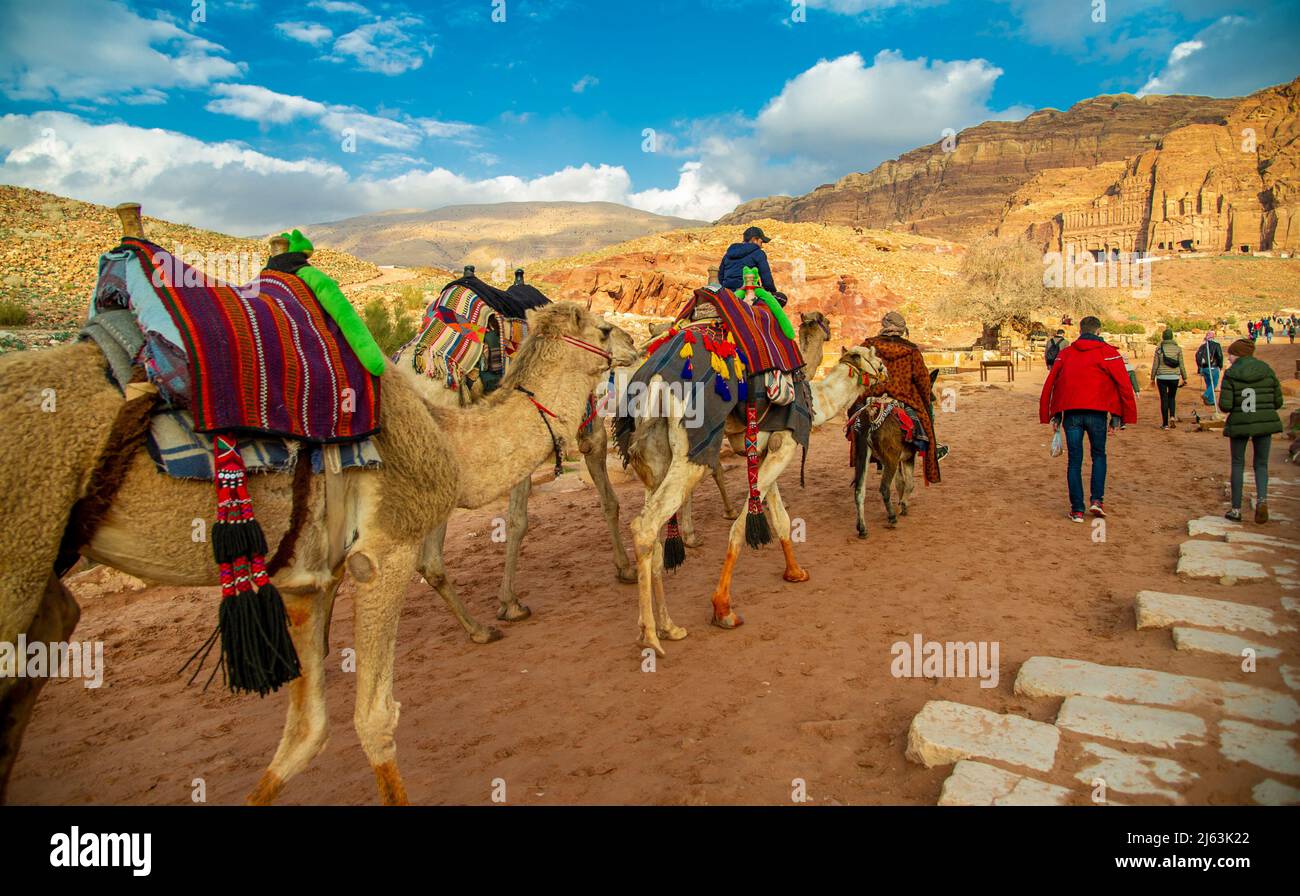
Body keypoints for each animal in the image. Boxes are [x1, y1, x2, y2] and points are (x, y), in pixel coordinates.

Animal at [0, 212, 637, 804]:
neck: (445, 434)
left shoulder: (309, 582)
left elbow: (305, 732)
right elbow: (374, 717)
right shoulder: (380, 554)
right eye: (606, 327)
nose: (632, 345)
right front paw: (580, 584)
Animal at [620, 341, 886, 656]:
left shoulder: (765, 450)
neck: (815, 401)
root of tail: (655, 383)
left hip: (655, 454)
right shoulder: (786, 445)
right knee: (645, 525)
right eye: (878, 360)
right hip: (692, 449)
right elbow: (741, 525)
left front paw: (795, 572)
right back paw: (649, 637)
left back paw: (669, 628)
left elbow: (781, 518)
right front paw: (723, 610)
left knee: (655, 537)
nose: (886, 375)